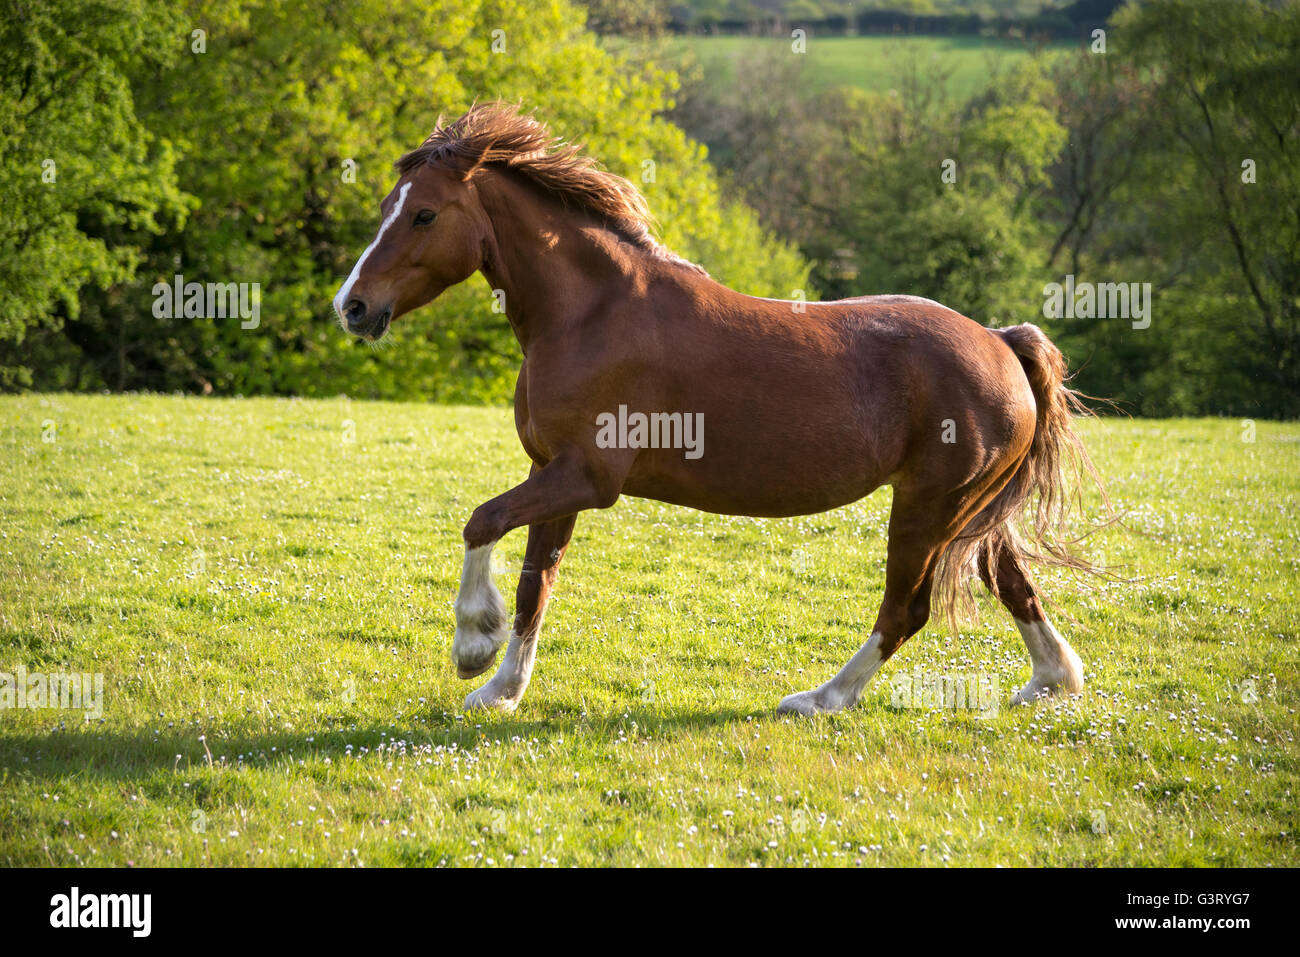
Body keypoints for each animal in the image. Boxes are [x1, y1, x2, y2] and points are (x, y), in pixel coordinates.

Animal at [332, 103, 1104, 716]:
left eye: (424, 213)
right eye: (388, 206)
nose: (353, 306)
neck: (591, 313)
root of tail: (1002, 342)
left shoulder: (586, 477)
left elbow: (481, 521)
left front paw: (472, 644)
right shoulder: (552, 475)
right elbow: (533, 585)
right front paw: (501, 689)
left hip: (929, 507)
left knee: (906, 607)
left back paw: (820, 698)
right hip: (969, 510)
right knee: (1011, 581)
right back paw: (1051, 681)